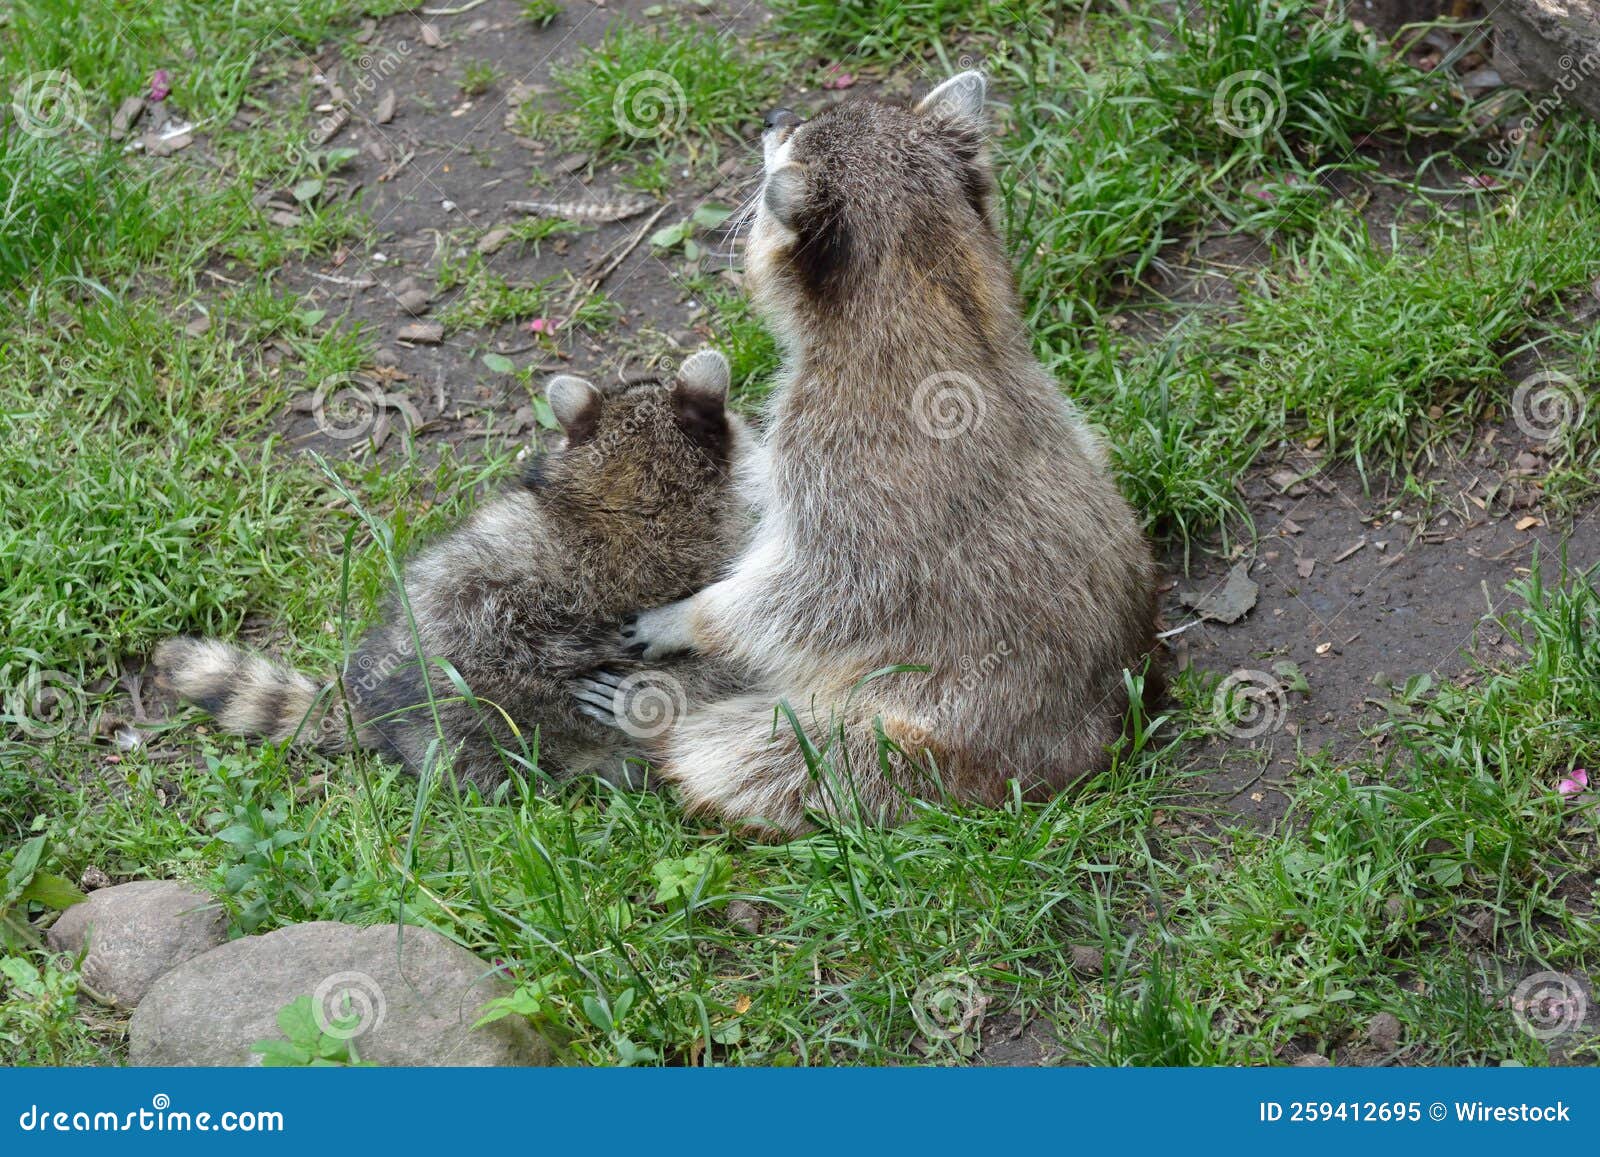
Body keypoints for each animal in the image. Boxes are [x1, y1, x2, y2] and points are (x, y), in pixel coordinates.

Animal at [574, 74, 1161, 838]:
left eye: (793, 138)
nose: (774, 115)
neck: (932, 283)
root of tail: (1086, 756)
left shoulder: (837, 458)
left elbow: (820, 590)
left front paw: (692, 615)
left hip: (900, 754)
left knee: (745, 754)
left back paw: (663, 722)